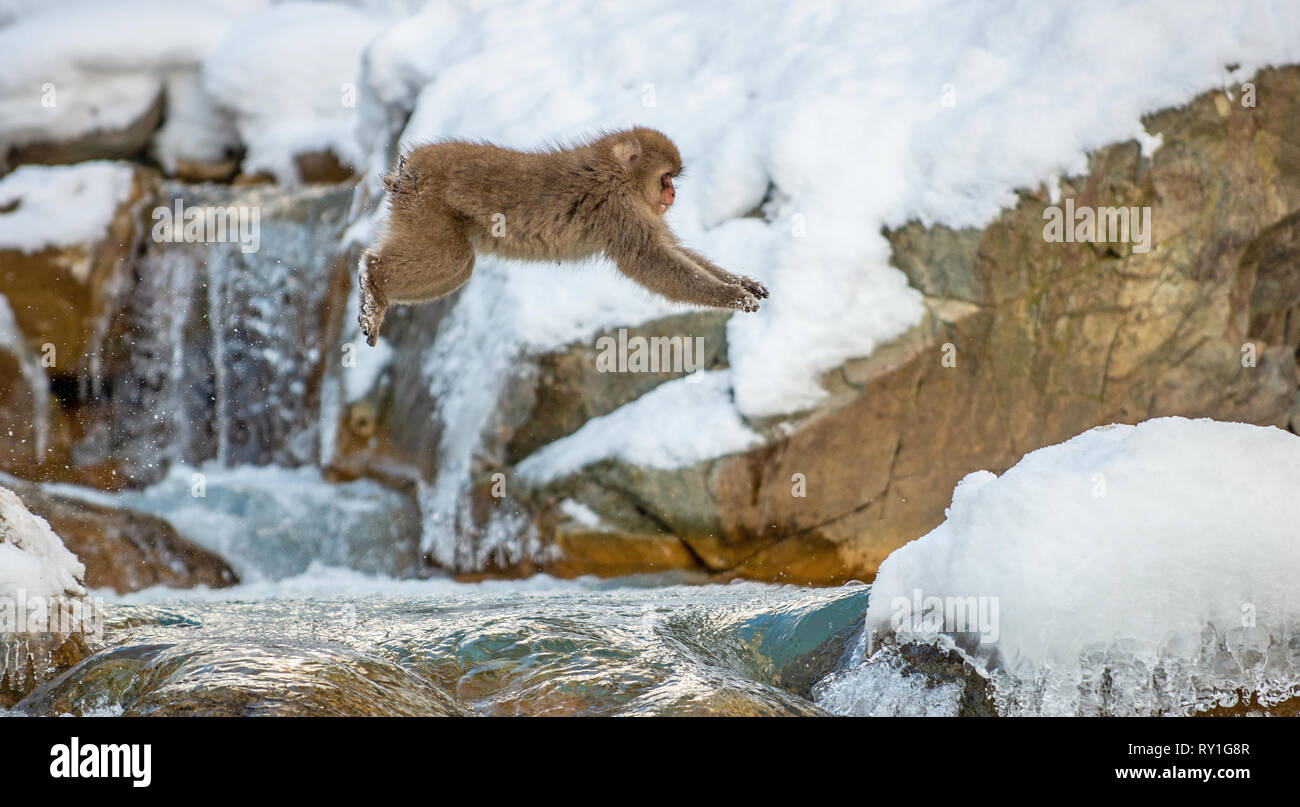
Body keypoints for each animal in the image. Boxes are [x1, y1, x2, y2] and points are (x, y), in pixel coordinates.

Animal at [357, 127, 768, 346]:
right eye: (666, 178)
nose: (672, 194)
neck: (616, 172)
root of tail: (408, 169)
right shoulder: (619, 208)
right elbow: (649, 261)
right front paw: (732, 296)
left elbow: (673, 249)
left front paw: (742, 282)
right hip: (426, 208)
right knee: (455, 262)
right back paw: (373, 279)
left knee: (458, 267)